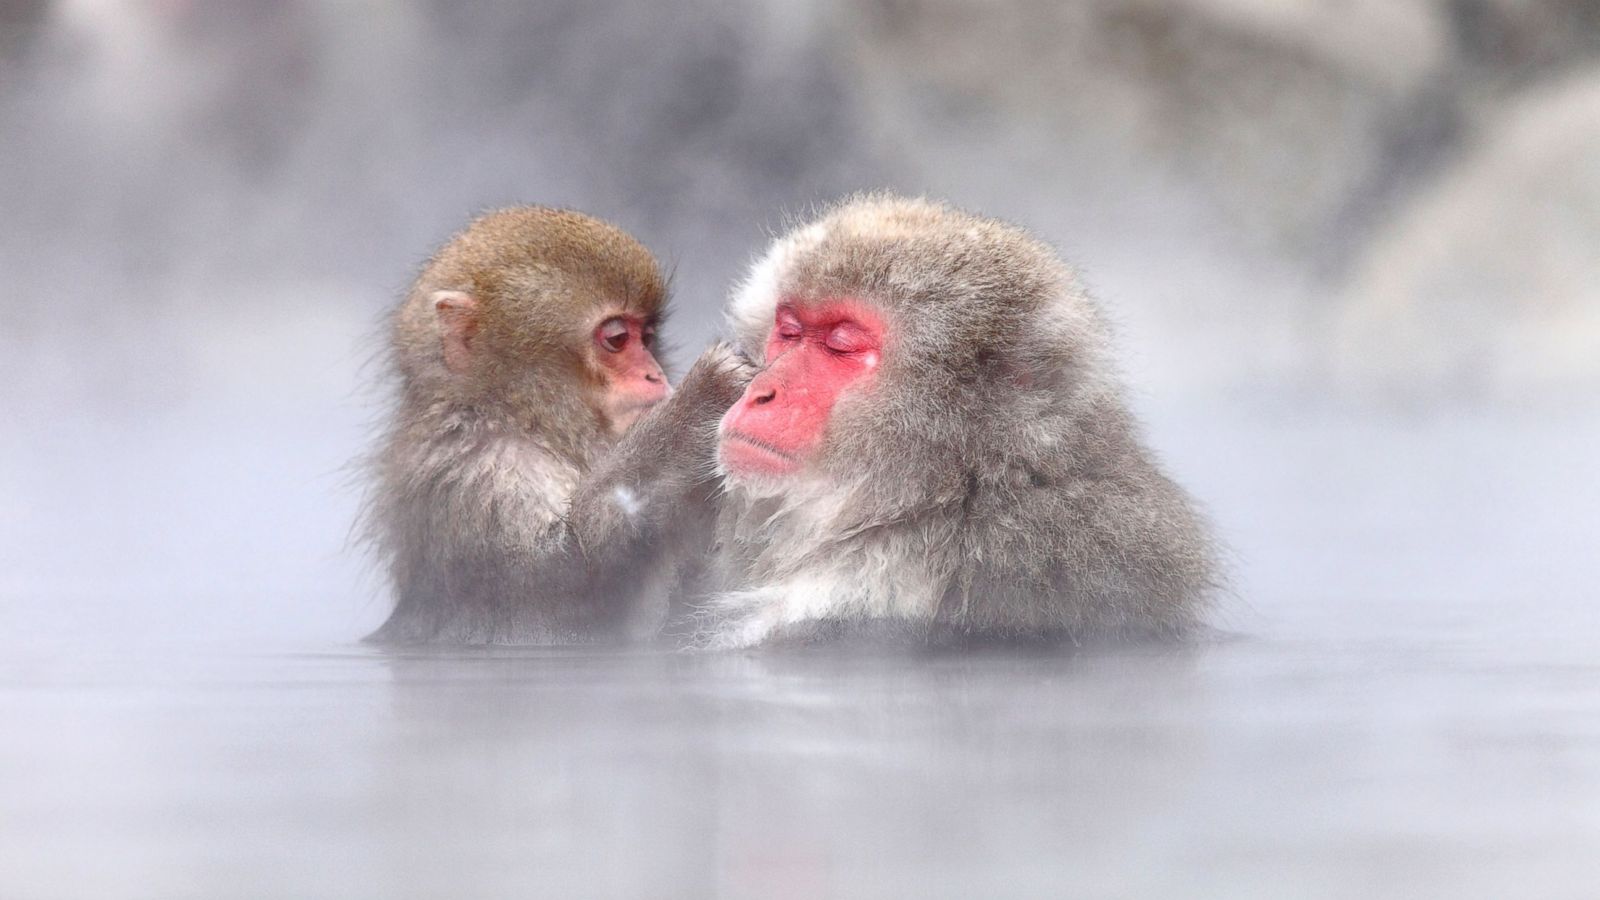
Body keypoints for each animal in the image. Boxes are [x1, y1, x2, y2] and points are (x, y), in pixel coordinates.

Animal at [362, 205, 714, 644]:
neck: (523, 420)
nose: (655, 375)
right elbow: (564, 583)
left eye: (647, 338)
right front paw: (691, 416)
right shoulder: (478, 472)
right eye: (617, 338)